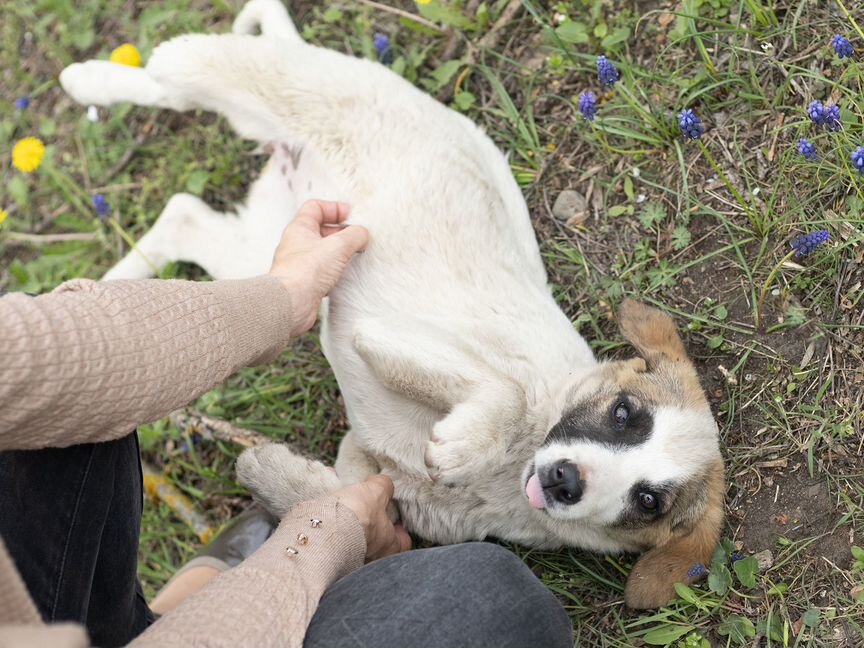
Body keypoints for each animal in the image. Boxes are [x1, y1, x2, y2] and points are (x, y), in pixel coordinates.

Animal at [57, 0, 724, 608]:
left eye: (648, 501)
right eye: (624, 413)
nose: (564, 480)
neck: (515, 463)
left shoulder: (366, 467)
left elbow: (324, 499)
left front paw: (278, 480)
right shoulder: (393, 336)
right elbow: (501, 392)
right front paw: (462, 443)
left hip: (270, 258)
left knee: (183, 215)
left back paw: (101, 294)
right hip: (249, 83)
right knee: (170, 73)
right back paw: (88, 79)